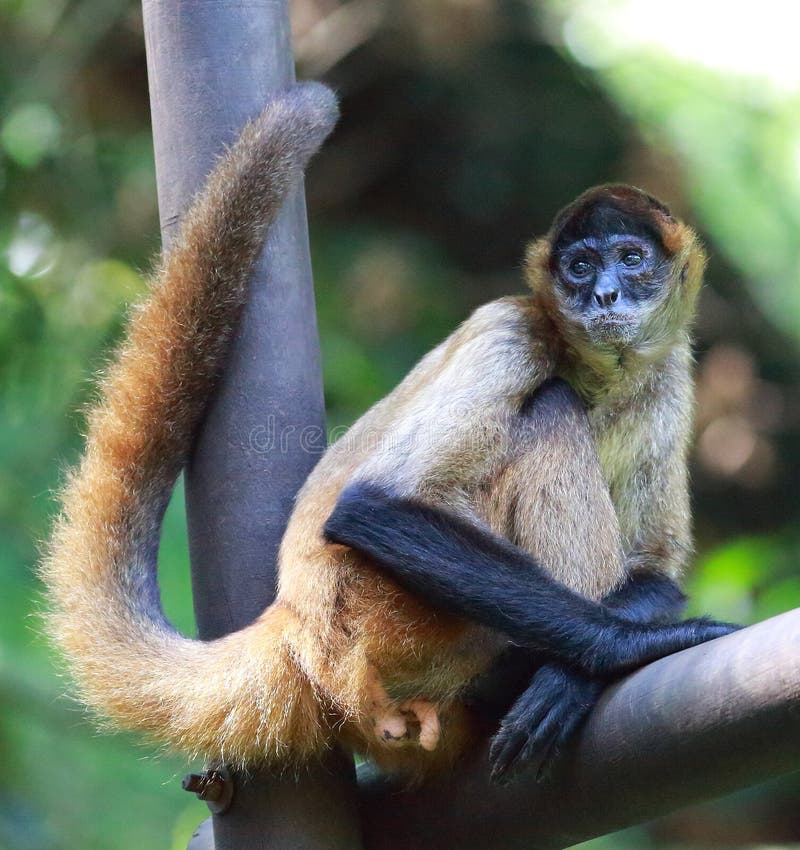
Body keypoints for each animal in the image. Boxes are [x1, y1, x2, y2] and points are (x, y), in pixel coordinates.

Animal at [41, 80, 736, 786]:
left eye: (631, 260)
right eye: (580, 266)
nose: (603, 295)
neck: (589, 369)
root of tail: (296, 622)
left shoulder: (669, 370)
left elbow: (658, 568)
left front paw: (589, 665)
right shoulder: (512, 330)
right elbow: (374, 506)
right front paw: (632, 646)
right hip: (388, 622)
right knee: (548, 409)